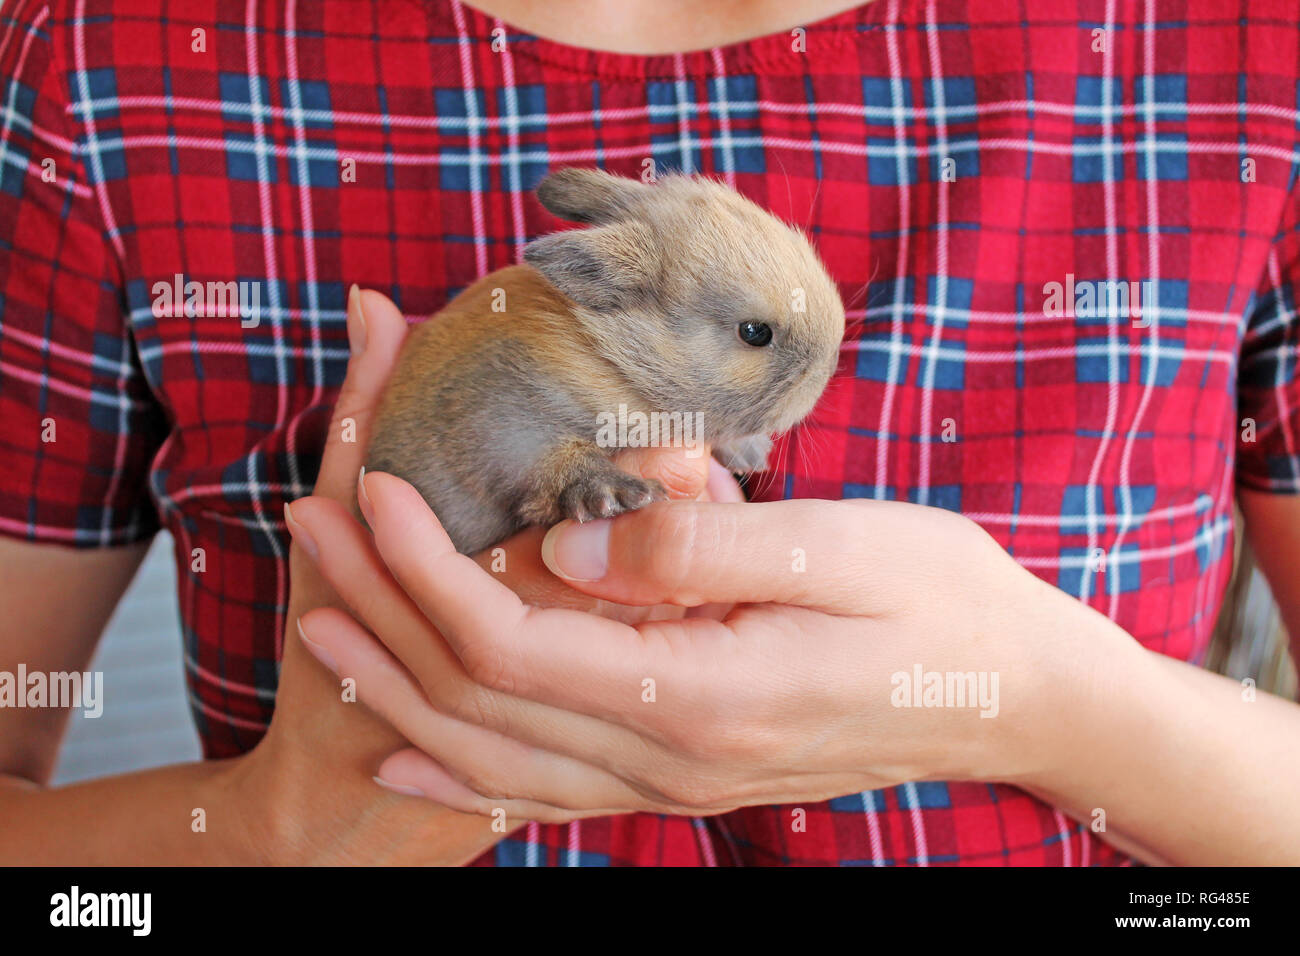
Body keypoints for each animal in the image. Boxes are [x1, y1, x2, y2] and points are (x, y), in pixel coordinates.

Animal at [366, 168, 846, 555]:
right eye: (754, 333)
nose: (826, 369)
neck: (611, 359)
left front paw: (749, 452)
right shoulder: (505, 426)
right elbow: (549, 463)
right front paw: (618, 495)